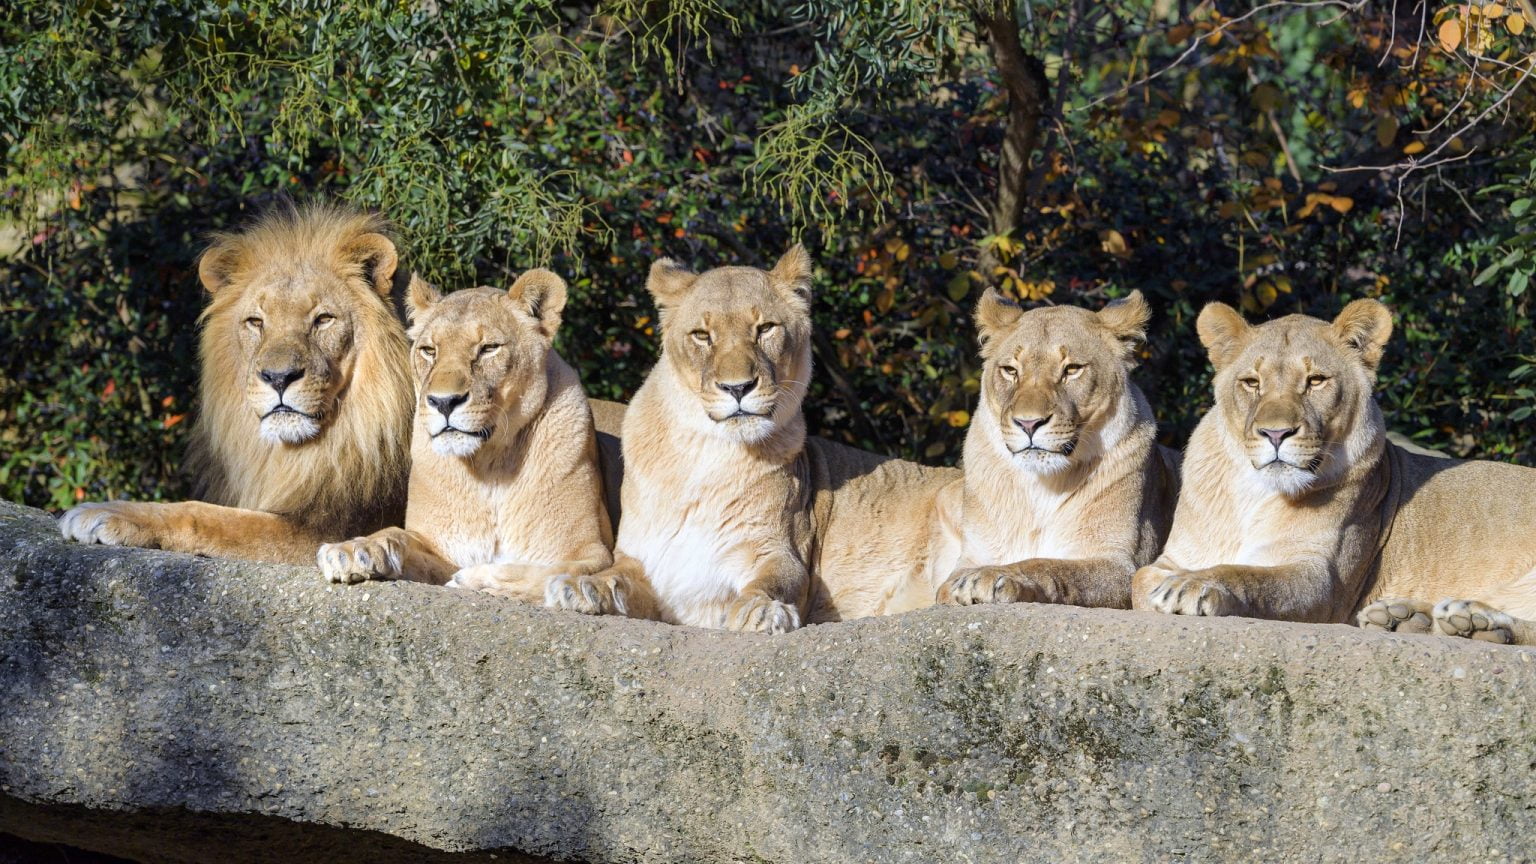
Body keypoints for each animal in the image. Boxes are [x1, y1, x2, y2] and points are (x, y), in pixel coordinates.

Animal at [58, 203, 414, 563]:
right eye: (256, 322)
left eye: (324, 319)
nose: (278, 378)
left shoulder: (327, 530)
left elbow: (206, 515)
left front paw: (108, 512)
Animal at [315, 270, 616, 609]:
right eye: (429, 350)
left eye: (489, 348)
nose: (444, 402)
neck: (490, 466)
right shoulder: (439, 548)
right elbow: (394, 535)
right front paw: (352, 550)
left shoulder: (594, 552)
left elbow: (549, 573)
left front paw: (476, 579)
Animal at [571, 247, 964, 633]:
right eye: (702, 335)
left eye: (765, 329)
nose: (737, 387)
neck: (708, 454)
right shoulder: (645, 557)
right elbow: (615, 575)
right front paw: (581, 587)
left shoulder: (784, 552)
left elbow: (772, 581)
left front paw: (760, 610)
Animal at [936, 289, 1178, 609]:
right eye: (1010, 371)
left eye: (1072, 370)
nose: (1028, 423)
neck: (1041, 488)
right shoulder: (968, 561)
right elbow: (949, 585)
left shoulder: (1125, 566)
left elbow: (1049, 566)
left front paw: (994, 576)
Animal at [1131, 299, 1536, 645]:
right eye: (1252, 382)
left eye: (1316, 381)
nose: (1275, 433)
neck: (1255, 493)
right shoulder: (1175, 558)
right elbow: (1140, 579)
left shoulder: (1324, 580)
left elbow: (1251, 575)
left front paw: (1193, 586)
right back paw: (1406, 617)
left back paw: (1477, 622)